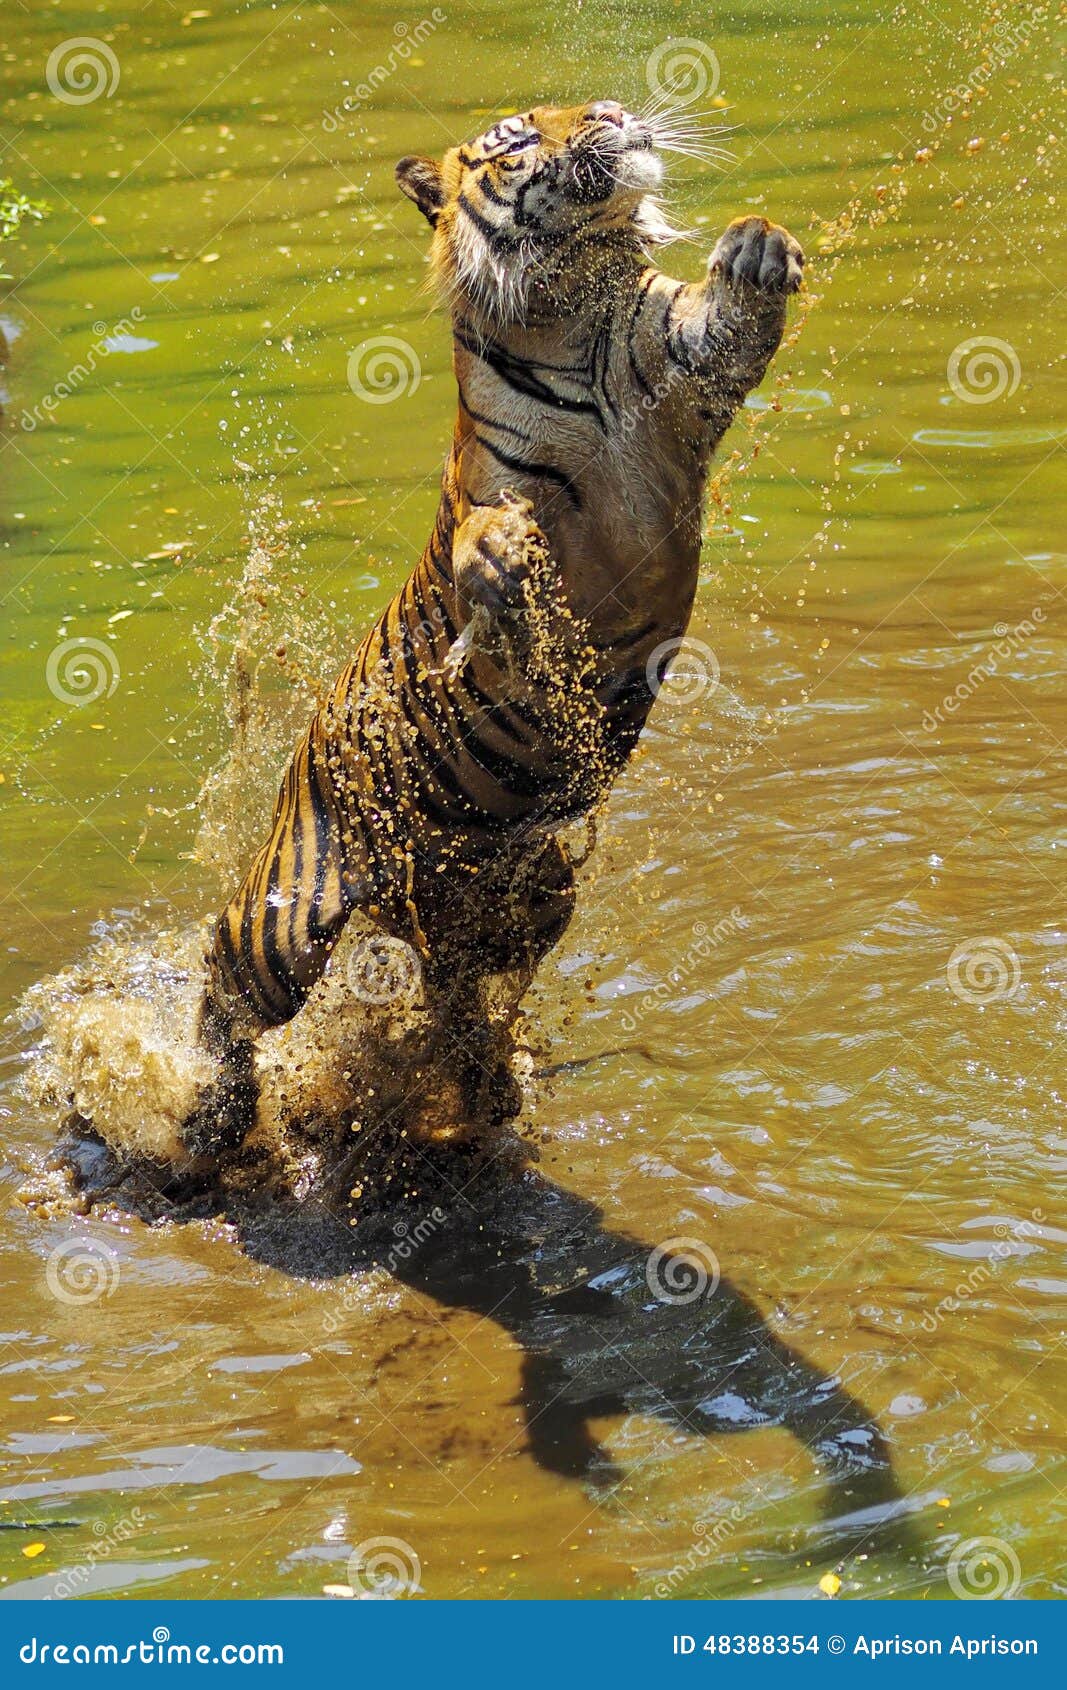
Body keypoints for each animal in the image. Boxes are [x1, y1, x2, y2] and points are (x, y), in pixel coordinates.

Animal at [183, 98, 804, 1158]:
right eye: (518, 138)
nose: (612, 111)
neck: (583, 310)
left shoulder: (688, 379)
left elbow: (727, 320)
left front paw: (759, 247)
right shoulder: (493, 483)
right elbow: (487, 528)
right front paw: (507, 563)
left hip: (521, 893)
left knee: (462, 1001)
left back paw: (474, 1095)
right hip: (288, 915)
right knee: (223, 975)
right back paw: (199, 1119)